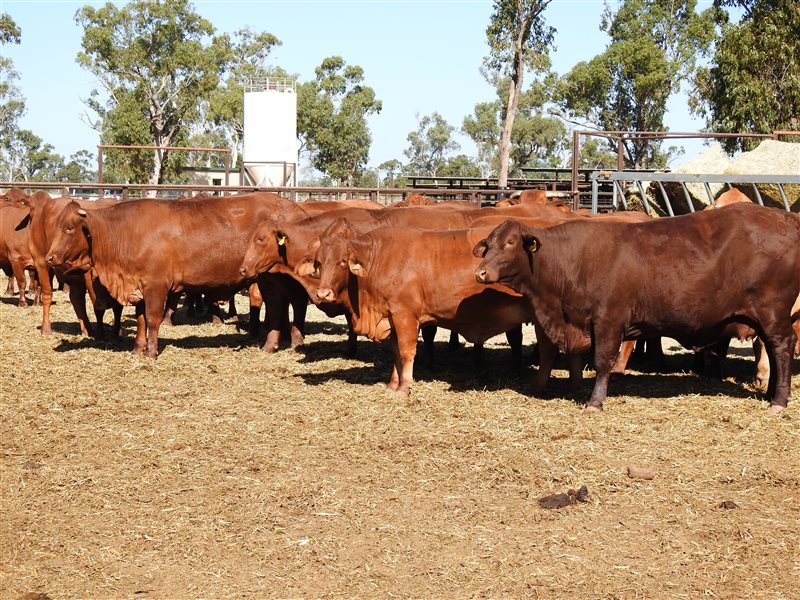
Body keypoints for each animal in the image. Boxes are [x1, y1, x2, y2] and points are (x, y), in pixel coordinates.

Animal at [46, 192, 308, 358]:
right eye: (56, 226)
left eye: (69, 228)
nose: (49, 257)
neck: (127, 232)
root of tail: (295, 208)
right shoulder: (140, 286)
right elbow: (141, 320)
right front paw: (137, 349)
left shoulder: (156, 286)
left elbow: (152, 319)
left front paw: (151, 352)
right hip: (267, 277)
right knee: (278, 303)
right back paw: (273, 343)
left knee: (294, 300)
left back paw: (292, 339)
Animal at [474, 203, 800, 413]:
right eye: (488, 244)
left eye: (511, 242)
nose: (481, 273)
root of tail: (786, 219)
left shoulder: (608, 320)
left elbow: (602, 361)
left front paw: (594, 402)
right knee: (774, 351)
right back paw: (771, 392)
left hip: (772, 313)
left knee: (782, 347)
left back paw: (778, 401)